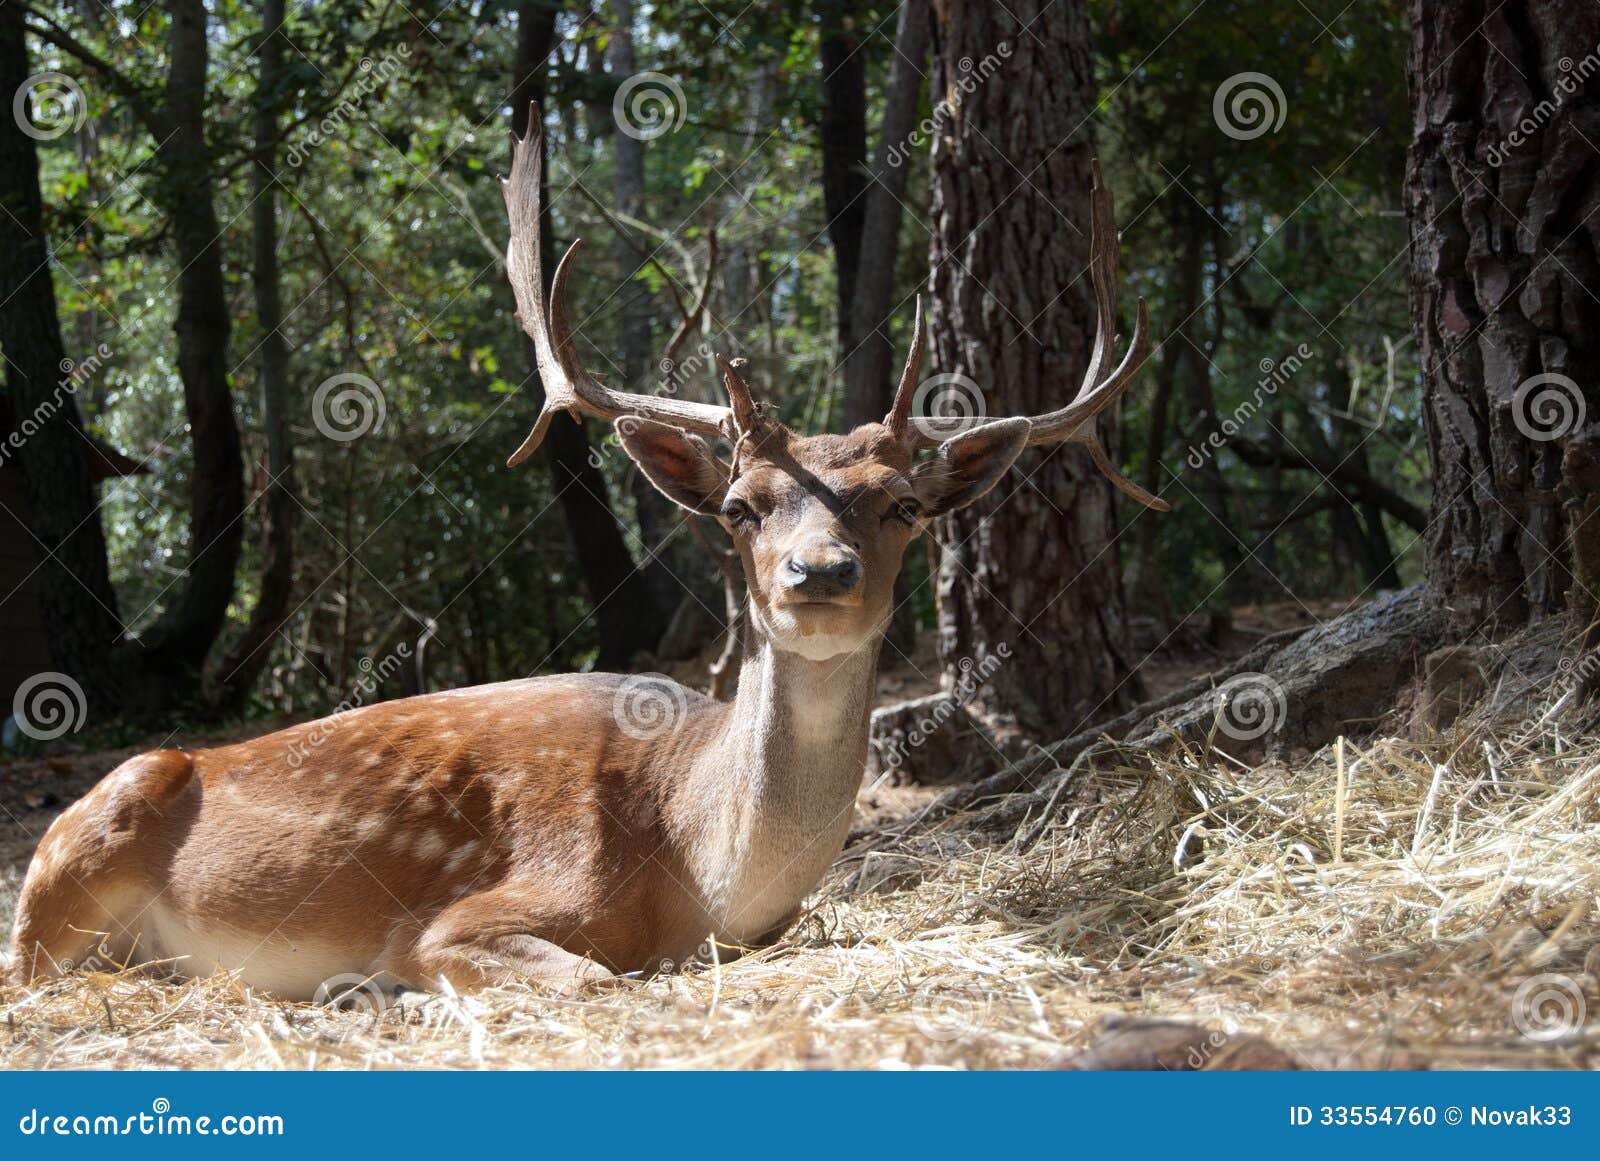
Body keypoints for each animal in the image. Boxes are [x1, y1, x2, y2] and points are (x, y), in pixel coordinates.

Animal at [5, 105, 1165, 999]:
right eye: (739, 506)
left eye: (905, 506)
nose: (820, 574)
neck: (697, 871)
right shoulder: (460, 918)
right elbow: (593, 976)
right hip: (75, 862)